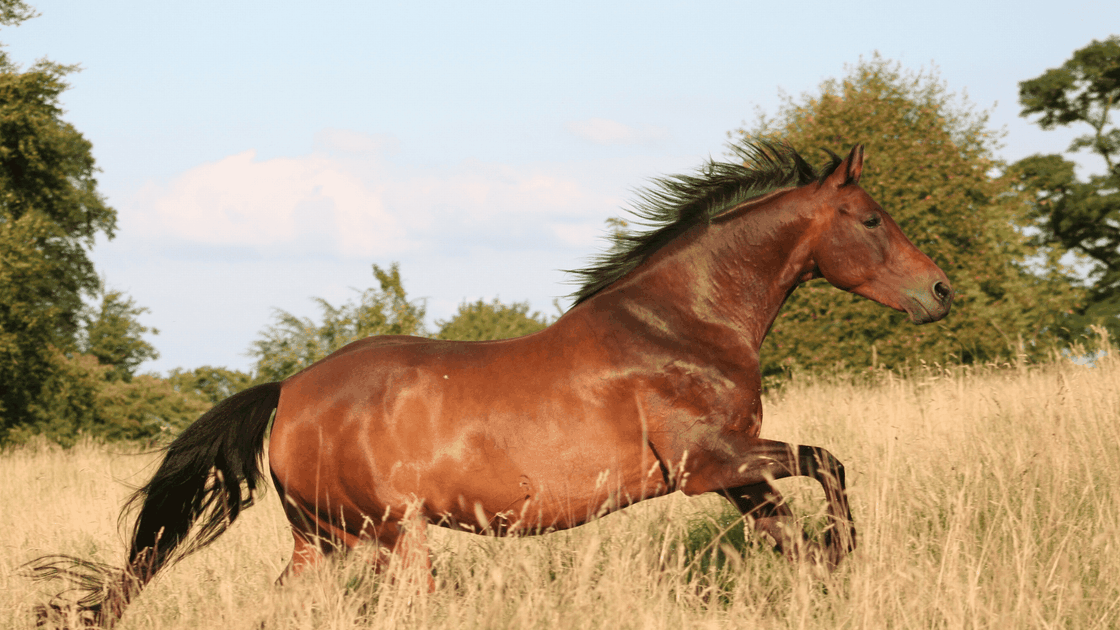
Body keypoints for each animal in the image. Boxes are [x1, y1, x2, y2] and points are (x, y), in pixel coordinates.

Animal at [27, 140, 952, 627]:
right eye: (871, 220)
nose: (940, 292)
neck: (681, 323)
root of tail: (287, 394)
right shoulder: (710, 465)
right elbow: (828, 464)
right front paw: (844, 553)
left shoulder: (733, 473)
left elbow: (788, 527)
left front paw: (826, 572)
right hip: (395, 537)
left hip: (324, 542)